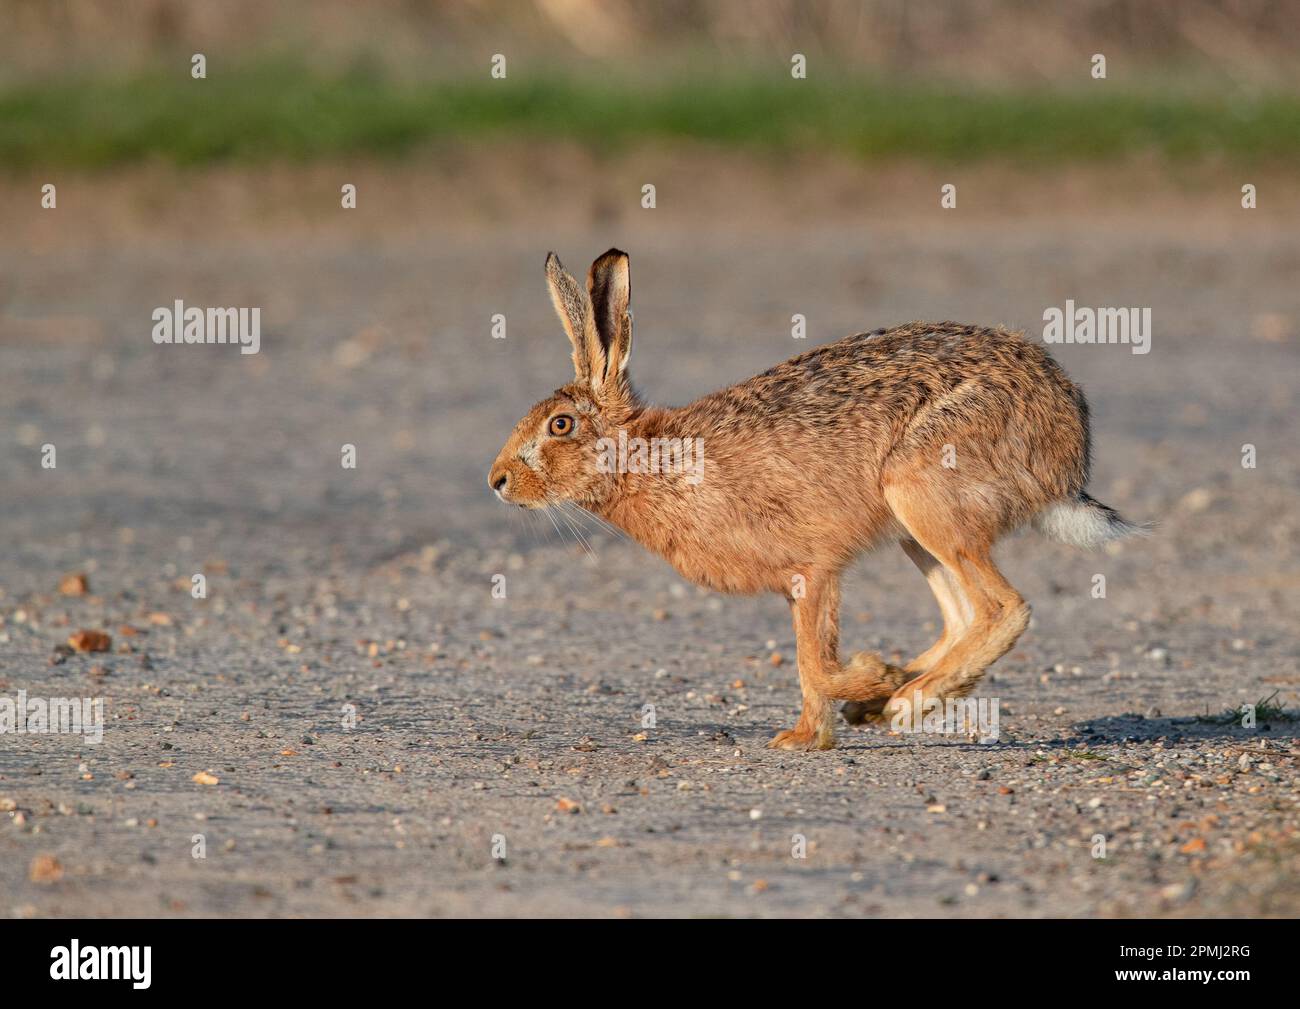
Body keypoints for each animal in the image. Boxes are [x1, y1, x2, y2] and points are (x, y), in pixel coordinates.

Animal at [489, 249, 1143, 751]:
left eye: (561, 425)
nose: (497, 481)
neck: (646, 459)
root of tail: (1067, 452)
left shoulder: (814, 568)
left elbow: (812, 663)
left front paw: (830, 713)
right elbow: (811, 664)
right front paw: (829, 719)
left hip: (925, 492)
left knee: (1004, 609)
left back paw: (906, 698)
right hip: (915, 527)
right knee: (962, 613)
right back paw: (896, 697)